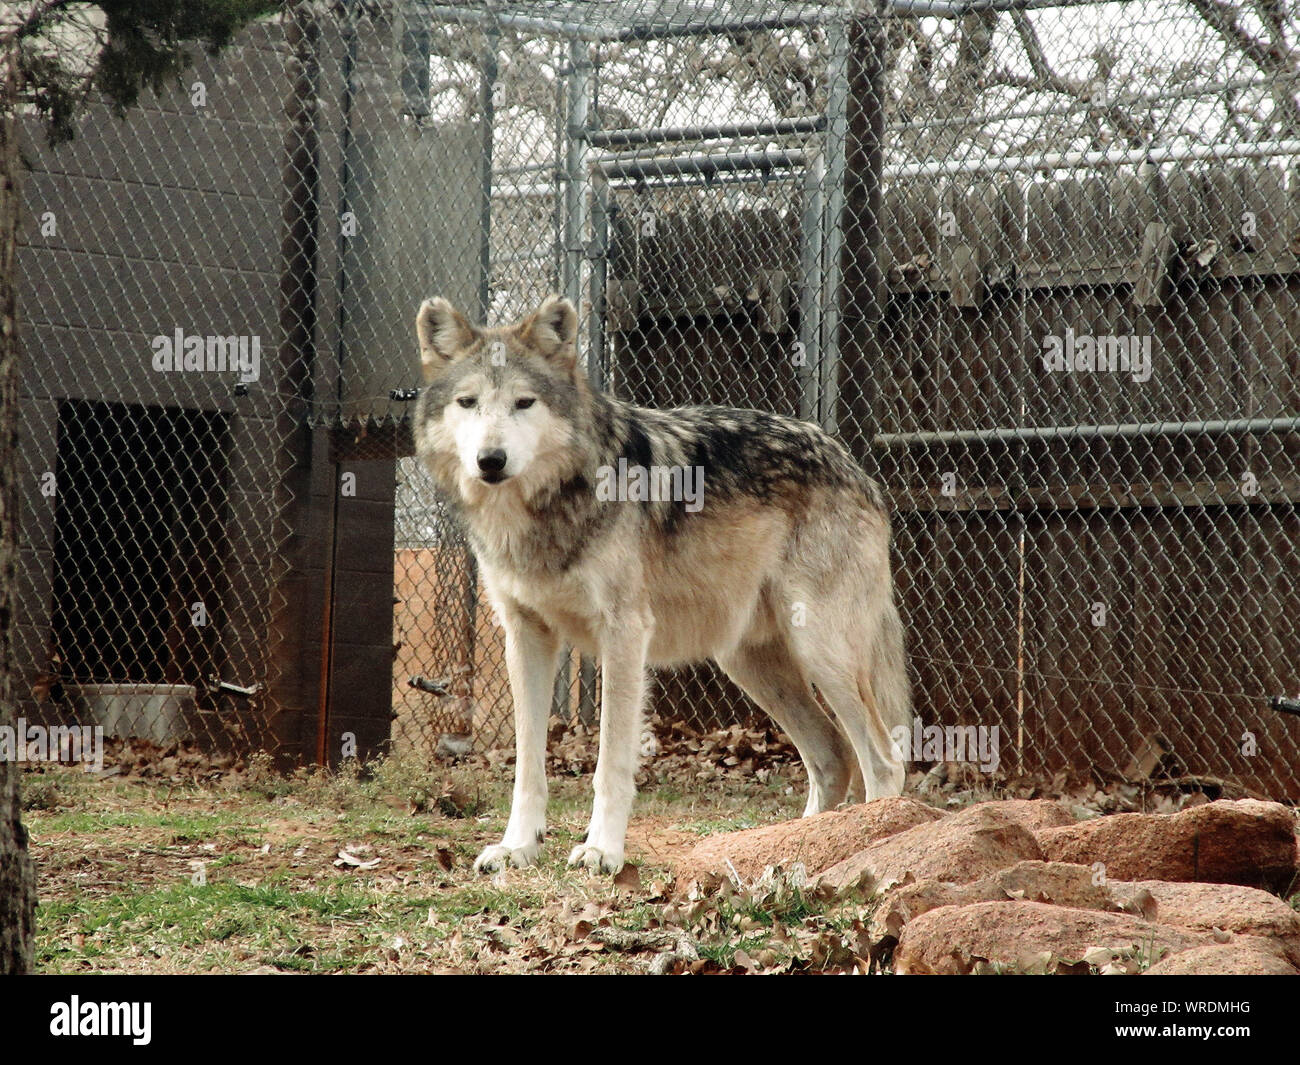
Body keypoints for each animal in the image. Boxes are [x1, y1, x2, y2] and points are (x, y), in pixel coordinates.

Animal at [413, 295, 911, 875]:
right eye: (468, 403)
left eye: (523, 403)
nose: (490, 461)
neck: (548, 509)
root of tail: (854, 464)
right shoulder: (526, 637)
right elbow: (527, 768)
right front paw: (518, 847)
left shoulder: (625, 634)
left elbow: (609, 765)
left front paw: (602, 851)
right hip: (749, 664)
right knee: (833, 755)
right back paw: (795, 850)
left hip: (821, 652)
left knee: (883, 760)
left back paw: (870, 845)